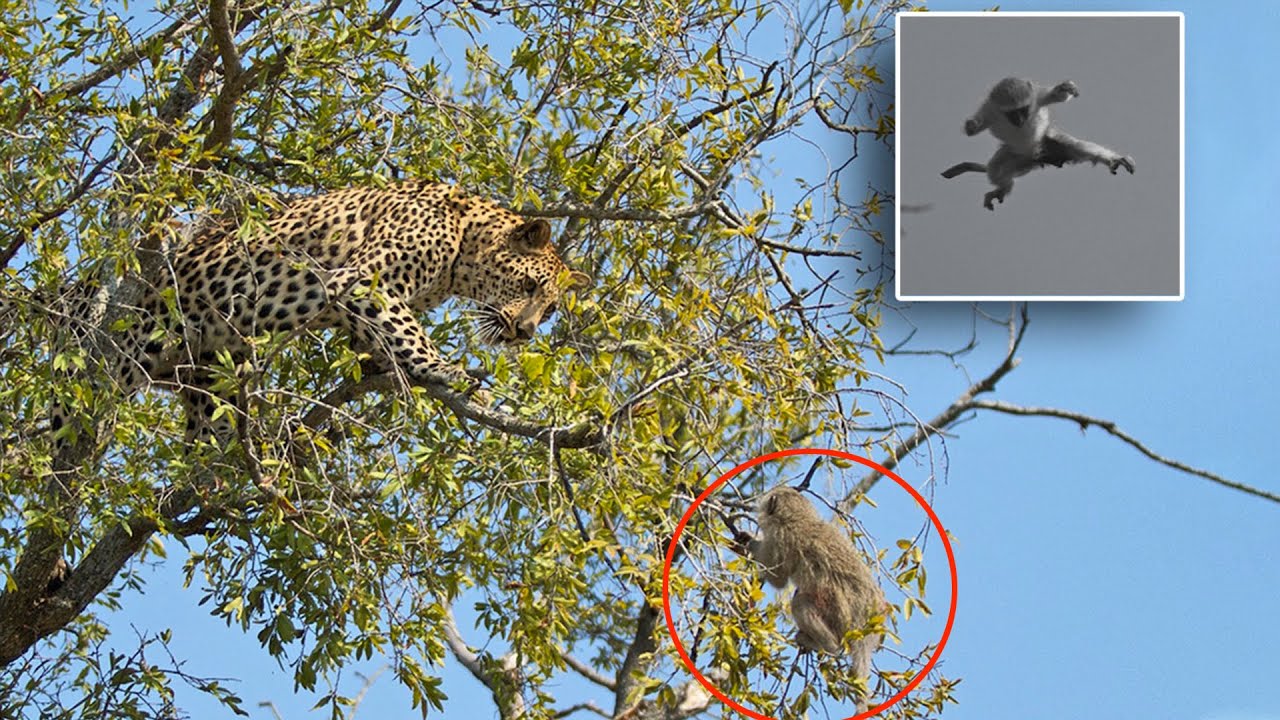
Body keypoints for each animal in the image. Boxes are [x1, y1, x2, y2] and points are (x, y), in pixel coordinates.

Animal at [49, 180, 590, 449]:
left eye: (551, 308)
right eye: (528, 286)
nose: (525, 331)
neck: (463, 243)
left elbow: (382, 338)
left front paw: (381, 366)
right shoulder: (366, 281)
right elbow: (410, 334)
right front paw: (444, 369)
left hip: (206, 375)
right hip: (121, 350)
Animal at [746, 486, 887, 702]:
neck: (797, 518)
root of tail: (864, 626)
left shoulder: (779, 538)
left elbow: (778, 579)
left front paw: (749, 543)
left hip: (838, 619)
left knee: (800, 602)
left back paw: (829, 646)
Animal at [942, 76, 1135, 210]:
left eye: (1023, 110)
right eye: (1013, 114)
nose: (1020, 120)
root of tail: (1034, 156)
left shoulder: (1037, 97)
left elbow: (1055, 96)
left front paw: (1063, 88)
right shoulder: (990, 111)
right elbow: (973, 130)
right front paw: (971, 125)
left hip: (1050, 143)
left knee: (1079, 147)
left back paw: (1112, 159)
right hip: (1015, 155)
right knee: (995, 168)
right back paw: (1004, 187)